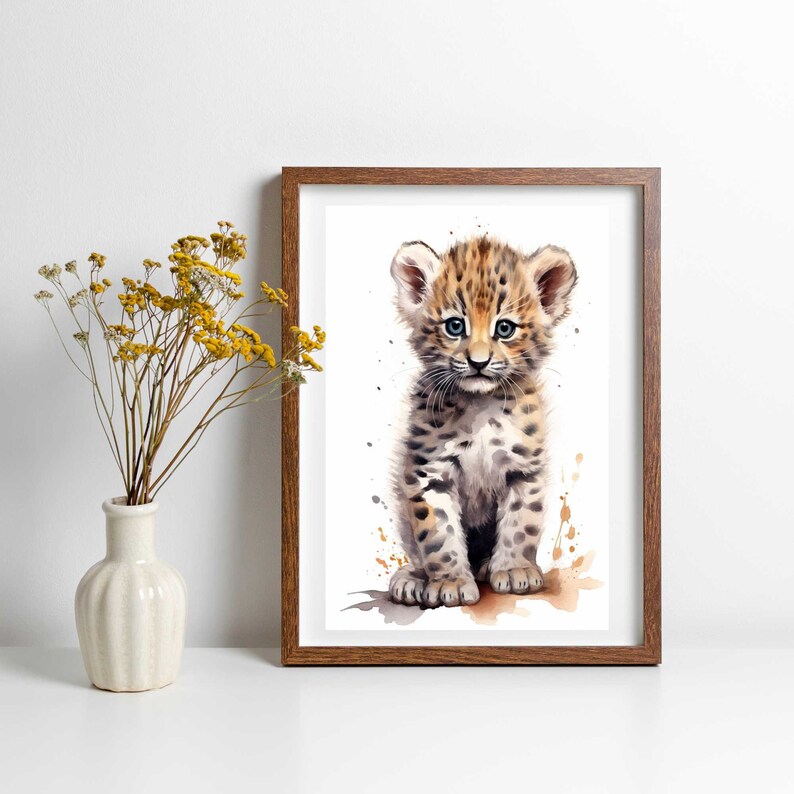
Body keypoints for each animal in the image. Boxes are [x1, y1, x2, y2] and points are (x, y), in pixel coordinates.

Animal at [387, 235, 577, 608]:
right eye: (454, 326)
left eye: (504, 328)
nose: (478, 362)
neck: (480, 407)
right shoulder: (428, 472)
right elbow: (437, 533)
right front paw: (449, 582)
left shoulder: (523, 468)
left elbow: (521, 522)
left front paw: (515, 569)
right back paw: (412, 579)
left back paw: (488, 566)